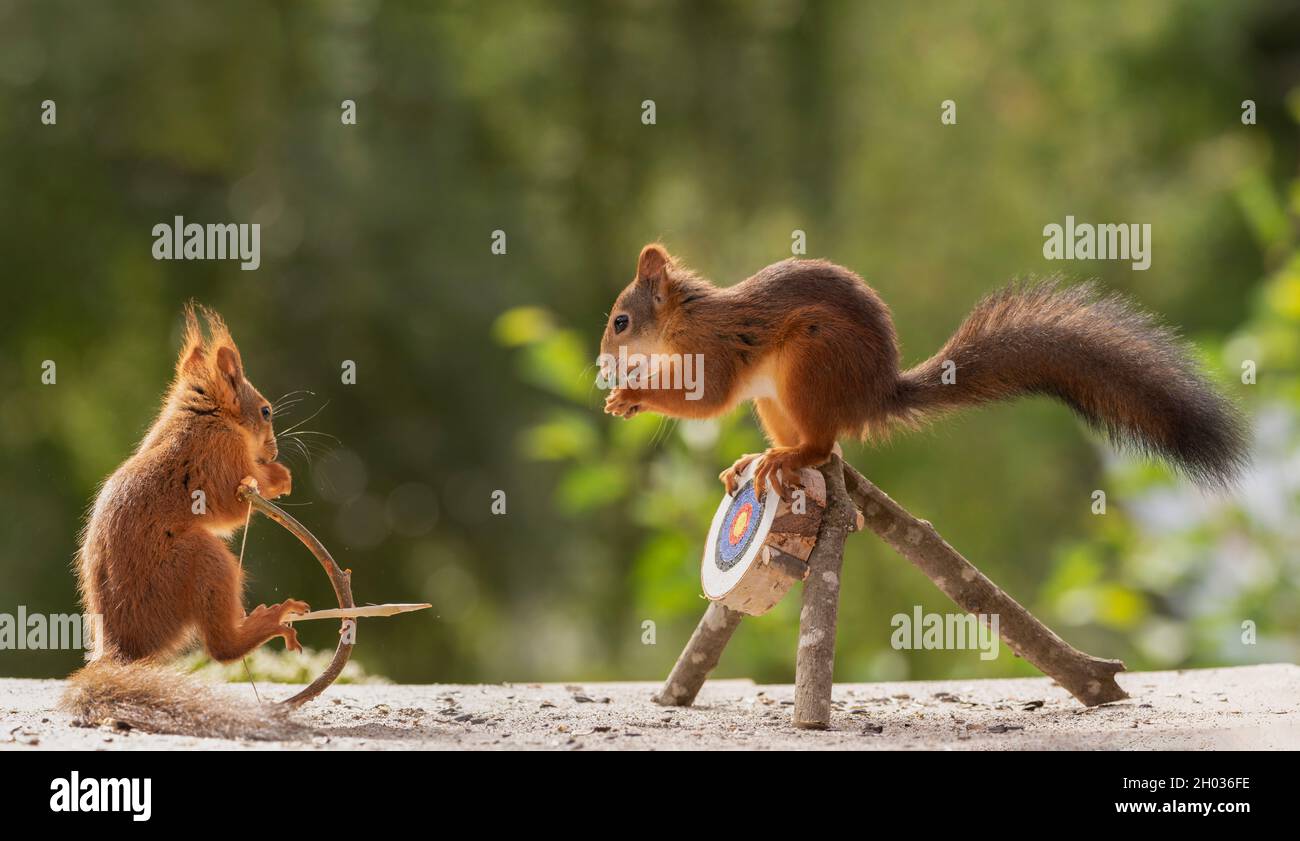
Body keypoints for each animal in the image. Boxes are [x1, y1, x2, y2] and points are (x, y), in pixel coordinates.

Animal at [63, 304, 309, 738]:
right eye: (265, 411)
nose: (274, 451)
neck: (202, 417)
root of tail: (121, 648)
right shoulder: (218, 459)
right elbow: (232, 507)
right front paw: (277, 478)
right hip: (200, 559)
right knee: (222, 647)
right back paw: (271, 620)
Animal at [600, 244, 1248, 497]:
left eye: (620, 323)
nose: (603, 364)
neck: (684, 319)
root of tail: (874, 396)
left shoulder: (714, 351)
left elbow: (705, 401)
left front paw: (631, 395)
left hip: (811, 362)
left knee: (823, 446)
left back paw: (787, 458)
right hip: (774, 399)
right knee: (825, 447)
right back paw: (764, 457)